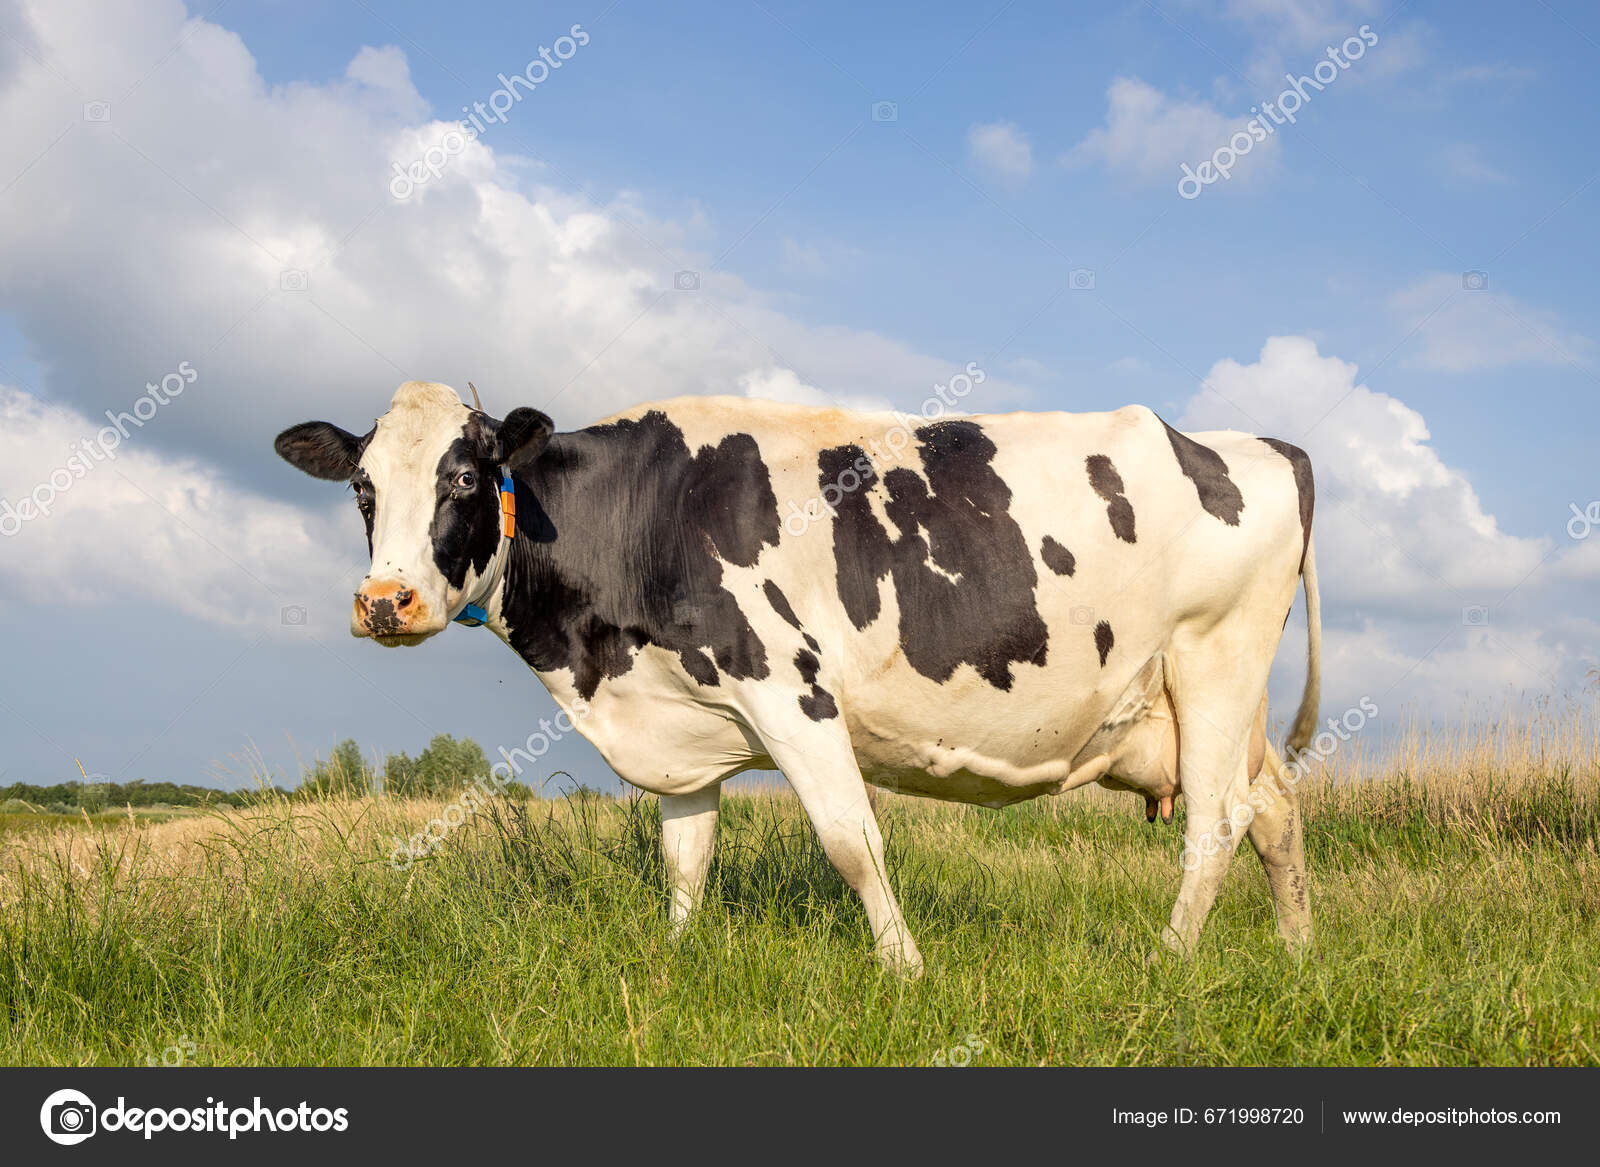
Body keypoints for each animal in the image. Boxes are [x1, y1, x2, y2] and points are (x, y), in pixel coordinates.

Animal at [276, 381, 1321, 974]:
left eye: (462, 478)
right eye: (363, 489)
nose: (385, 601)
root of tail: (1259, 445)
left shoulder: (789, 689)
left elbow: (852, 841)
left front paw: (906, 972)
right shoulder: (684, 723)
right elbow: (685, 856)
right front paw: (676, 956)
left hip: (1215, 659)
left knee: (1215, 823)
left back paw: (1168, 962)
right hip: (1216, 699)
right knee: (1274, 809)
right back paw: (1298, 951)